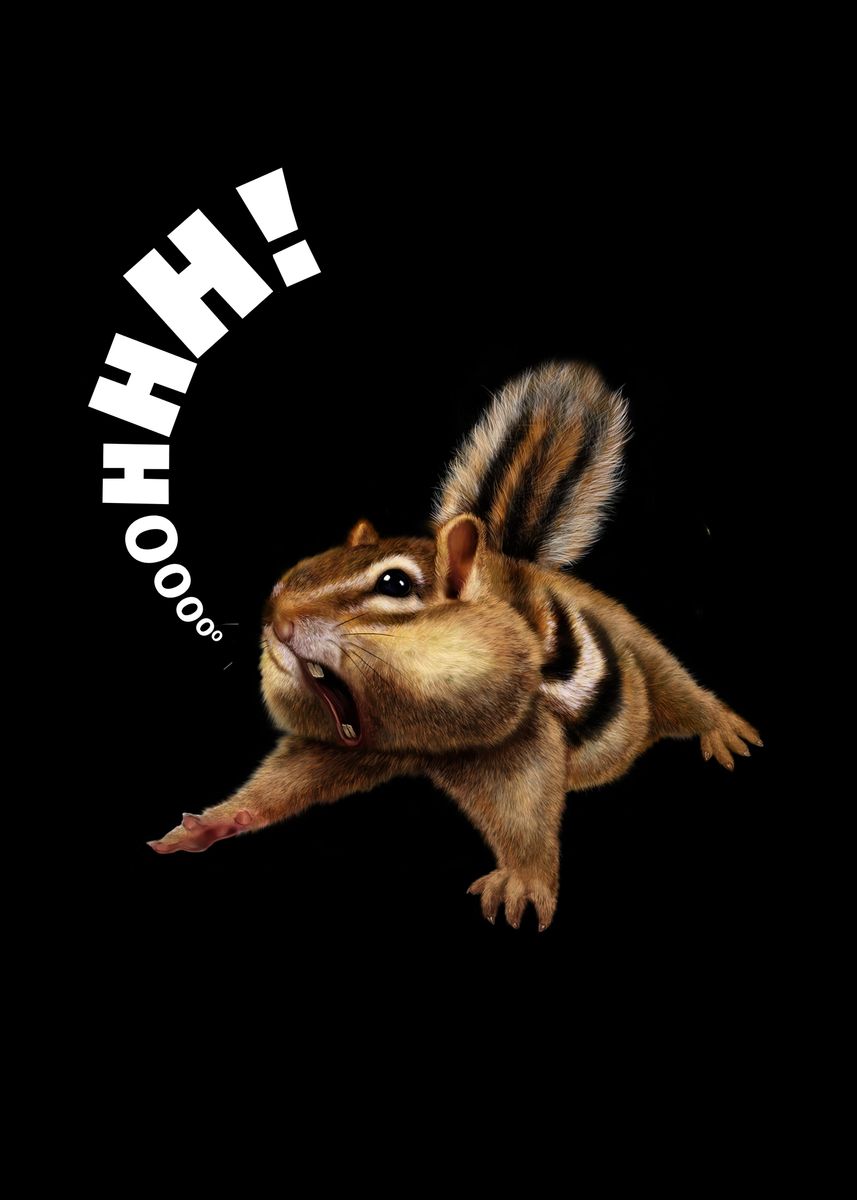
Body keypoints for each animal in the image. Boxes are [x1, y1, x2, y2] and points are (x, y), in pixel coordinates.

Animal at [149, 361, 762, 930]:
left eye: (395, 584)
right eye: (306, 566)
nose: (274, 619)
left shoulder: (523, 736)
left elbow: (528, 807)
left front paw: (522, 880)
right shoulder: (359, 747)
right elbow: (289, 780)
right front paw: (216, 822)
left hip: (643, 653)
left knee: (677, 689)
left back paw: (721, 724)